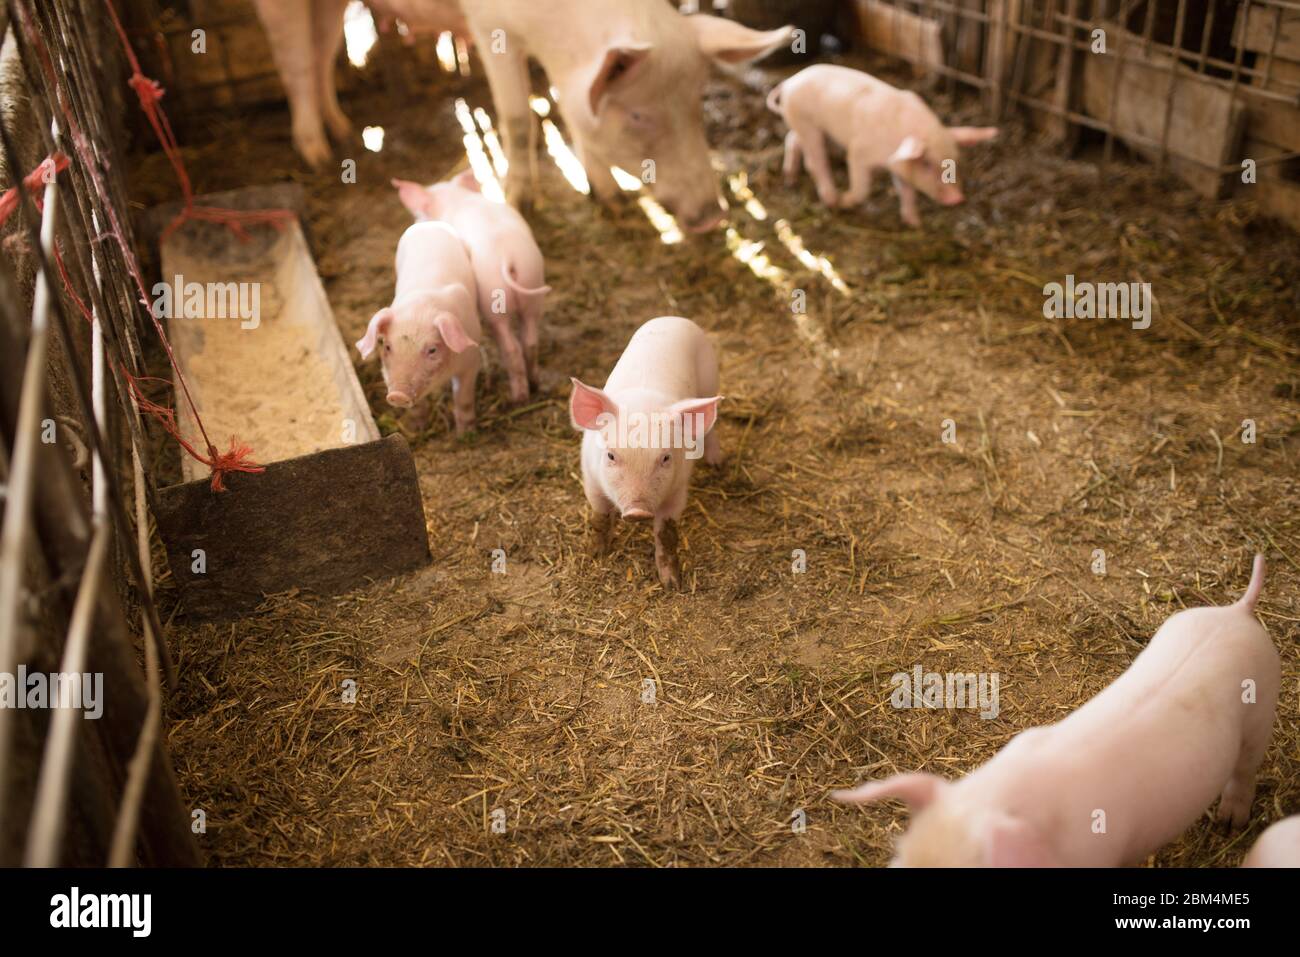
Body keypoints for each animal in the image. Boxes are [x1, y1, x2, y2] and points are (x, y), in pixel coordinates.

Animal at [356, 221, 481, 434]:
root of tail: (428, 223)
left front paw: (466, 434)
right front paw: (414, 428)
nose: (397, 395)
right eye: (387, 346)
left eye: (432, 350)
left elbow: (463, 399)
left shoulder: (470, 361)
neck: (419, 310)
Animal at [393, 172, 551, 404]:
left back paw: (519, 397)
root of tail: (509, 257)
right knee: (530, 340)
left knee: (511, 345)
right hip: (532, 281)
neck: (456, 198)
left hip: (492, 297)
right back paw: (535, 384)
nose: (416, 221)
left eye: (419, 213)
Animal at [459, 1, 793, 230]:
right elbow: (516, 118)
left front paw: (615, 203)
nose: (716, 215)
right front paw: (518, 206)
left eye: (694, 102)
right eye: (637, 116)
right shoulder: (489, 29)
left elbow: (575, 118)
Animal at [569, 317, 722, 589]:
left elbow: (666, 533)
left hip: (709, 378)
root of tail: (673, 318)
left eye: (665, 458)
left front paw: (672, 584)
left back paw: (718, 464)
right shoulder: (591, 480)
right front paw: (595, 554)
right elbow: (599, 517)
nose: (637, 511)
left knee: (711, 429)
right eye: (610, 455)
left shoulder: (678, 490)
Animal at [766, 64, 998, 227]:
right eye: (926, 163)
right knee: (815, 160)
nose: (957, 198)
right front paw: (846, 201)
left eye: (954, 162)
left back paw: (790, 179)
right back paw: (832, 199)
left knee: (792, 139)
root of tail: (789, 81)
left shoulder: (902, 167)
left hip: (807, 126)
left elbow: (908, 192)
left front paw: (914, 223)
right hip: (807, 123)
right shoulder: (858, 153)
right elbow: (862, 188)